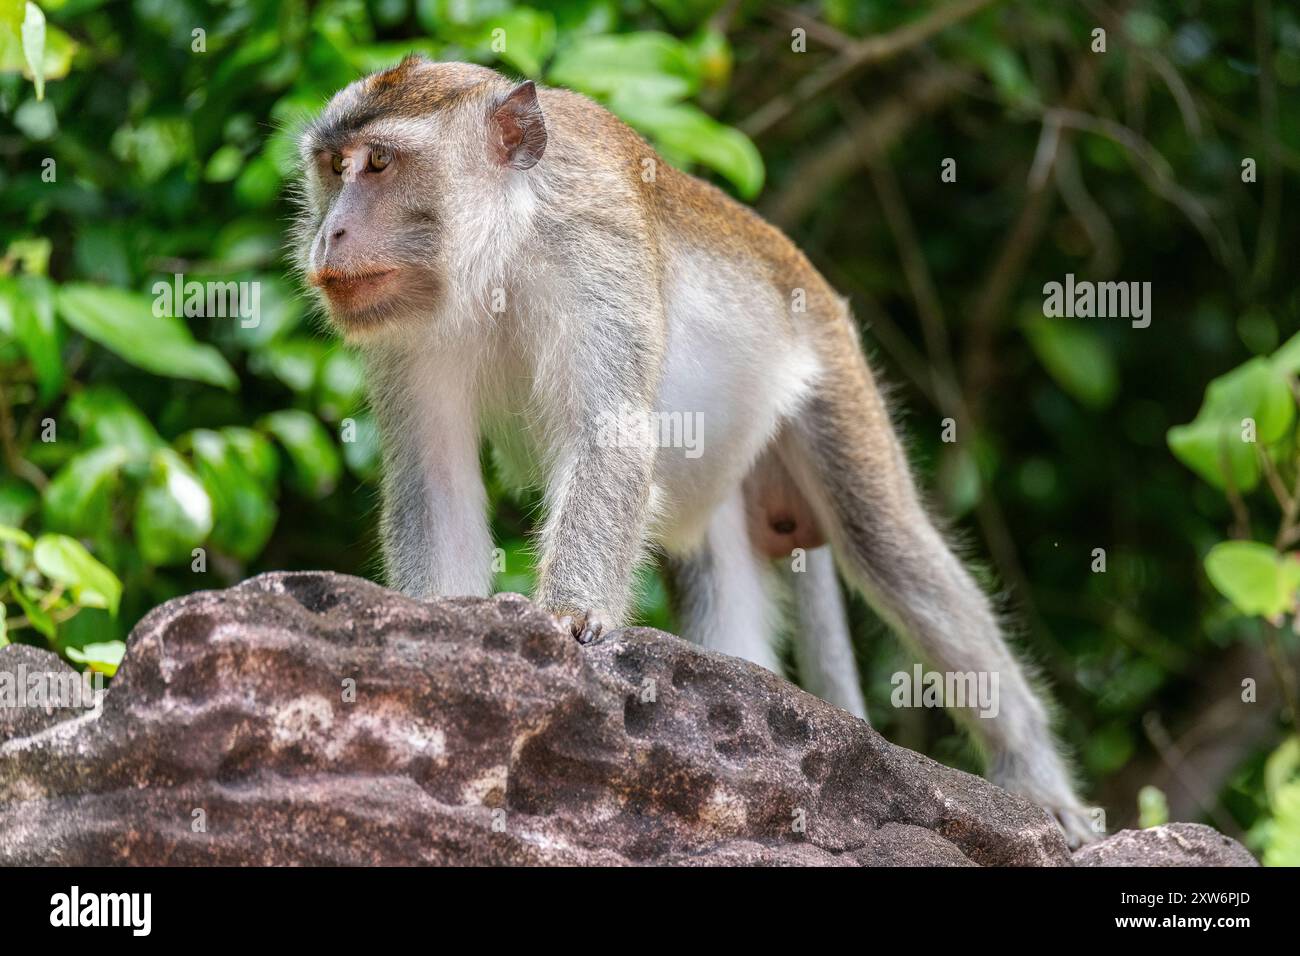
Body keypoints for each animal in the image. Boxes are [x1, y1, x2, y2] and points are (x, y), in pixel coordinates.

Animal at [293, 55, 1095, 845]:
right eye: (334, 167)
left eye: (381, 163)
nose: (329, 234)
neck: (502, 245)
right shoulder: (405, 329)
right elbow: (433, 479)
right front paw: (443, 637)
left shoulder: (595, 244)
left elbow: (610, 436)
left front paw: (565, 622)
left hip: (832, 373)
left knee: (891, 546)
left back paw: (1038, 784)